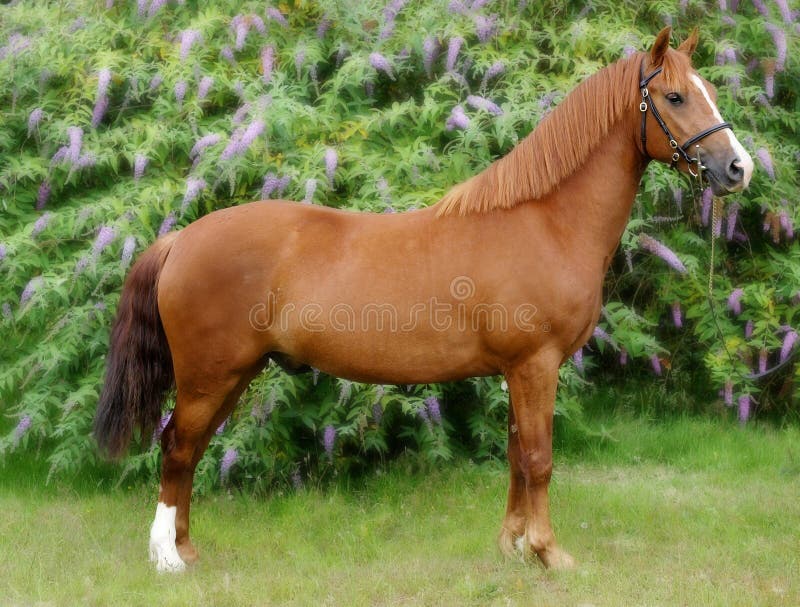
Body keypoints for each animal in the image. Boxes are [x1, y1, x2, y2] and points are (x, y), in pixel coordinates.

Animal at [94, 27, 753, 572]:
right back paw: (168, 560)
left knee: (191, 451)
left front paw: (513, 547)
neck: (545, 222)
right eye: (675, 98)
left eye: (708, 91)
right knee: (177, 447)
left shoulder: (517, 371)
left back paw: (186, 549)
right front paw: (548, 553)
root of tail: (180, 240)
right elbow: (539, 459)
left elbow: (516, 456)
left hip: (231, 376)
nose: (737, 168)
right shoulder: (535, 365)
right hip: (210, 375)